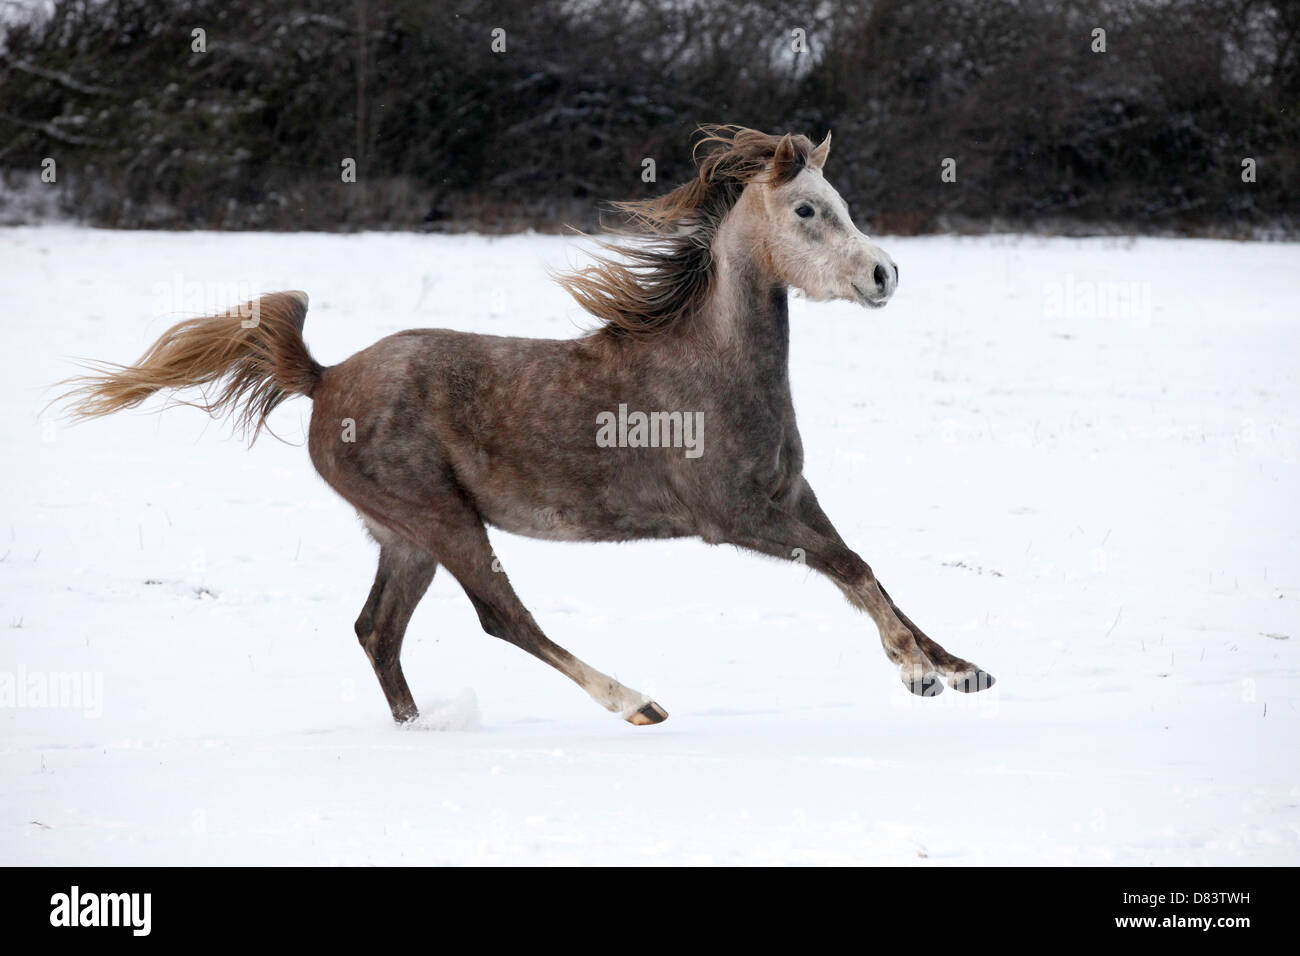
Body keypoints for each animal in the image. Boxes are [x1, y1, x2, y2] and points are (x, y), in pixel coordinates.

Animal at [58, 125, 995, 726]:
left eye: (838, 201)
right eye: (806, 211)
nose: (884, 274)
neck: (714, 368)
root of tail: (322, 379)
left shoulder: (790, 495)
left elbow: (862, 566)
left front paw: (958, 668)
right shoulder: (729, 517)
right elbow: (847, 569)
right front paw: (919, 676)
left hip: (407, 535)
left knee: (378, 631)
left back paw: (418, 728)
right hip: (443, 520)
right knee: (501, 618)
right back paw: (636, 703)